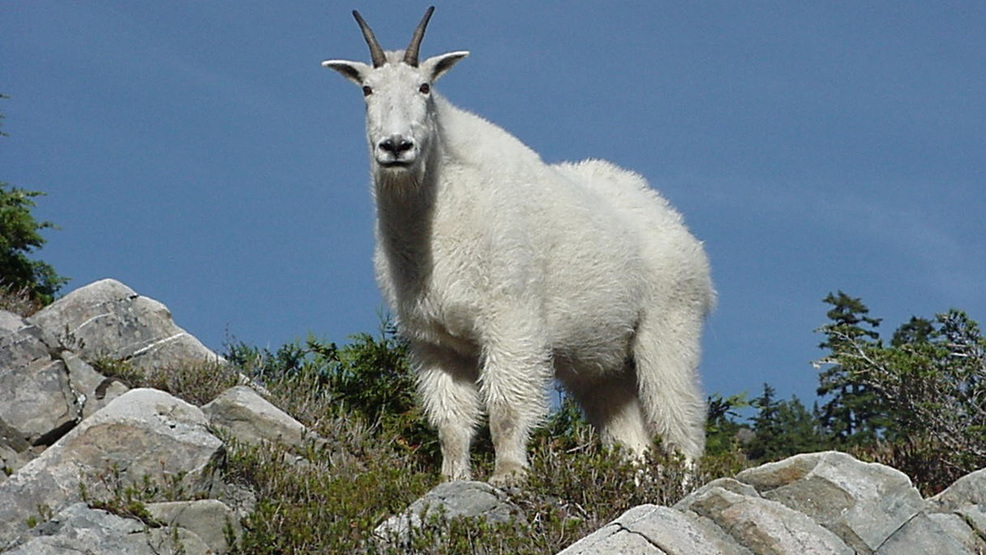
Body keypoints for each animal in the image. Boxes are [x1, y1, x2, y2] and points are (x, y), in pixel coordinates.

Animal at [322, 7, 714, 488]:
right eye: (367, 89)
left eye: (425, 86)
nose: (396, 147)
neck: (439, 211)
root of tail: (681, 231)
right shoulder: (437, 343)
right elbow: (451, 420)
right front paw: (452, 479)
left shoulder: (510, 317)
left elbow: (506, 405)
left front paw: (509, 473)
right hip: (605, 362)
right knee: (627, 430)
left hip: (668, 325)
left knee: (680, 415)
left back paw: (684, 480)